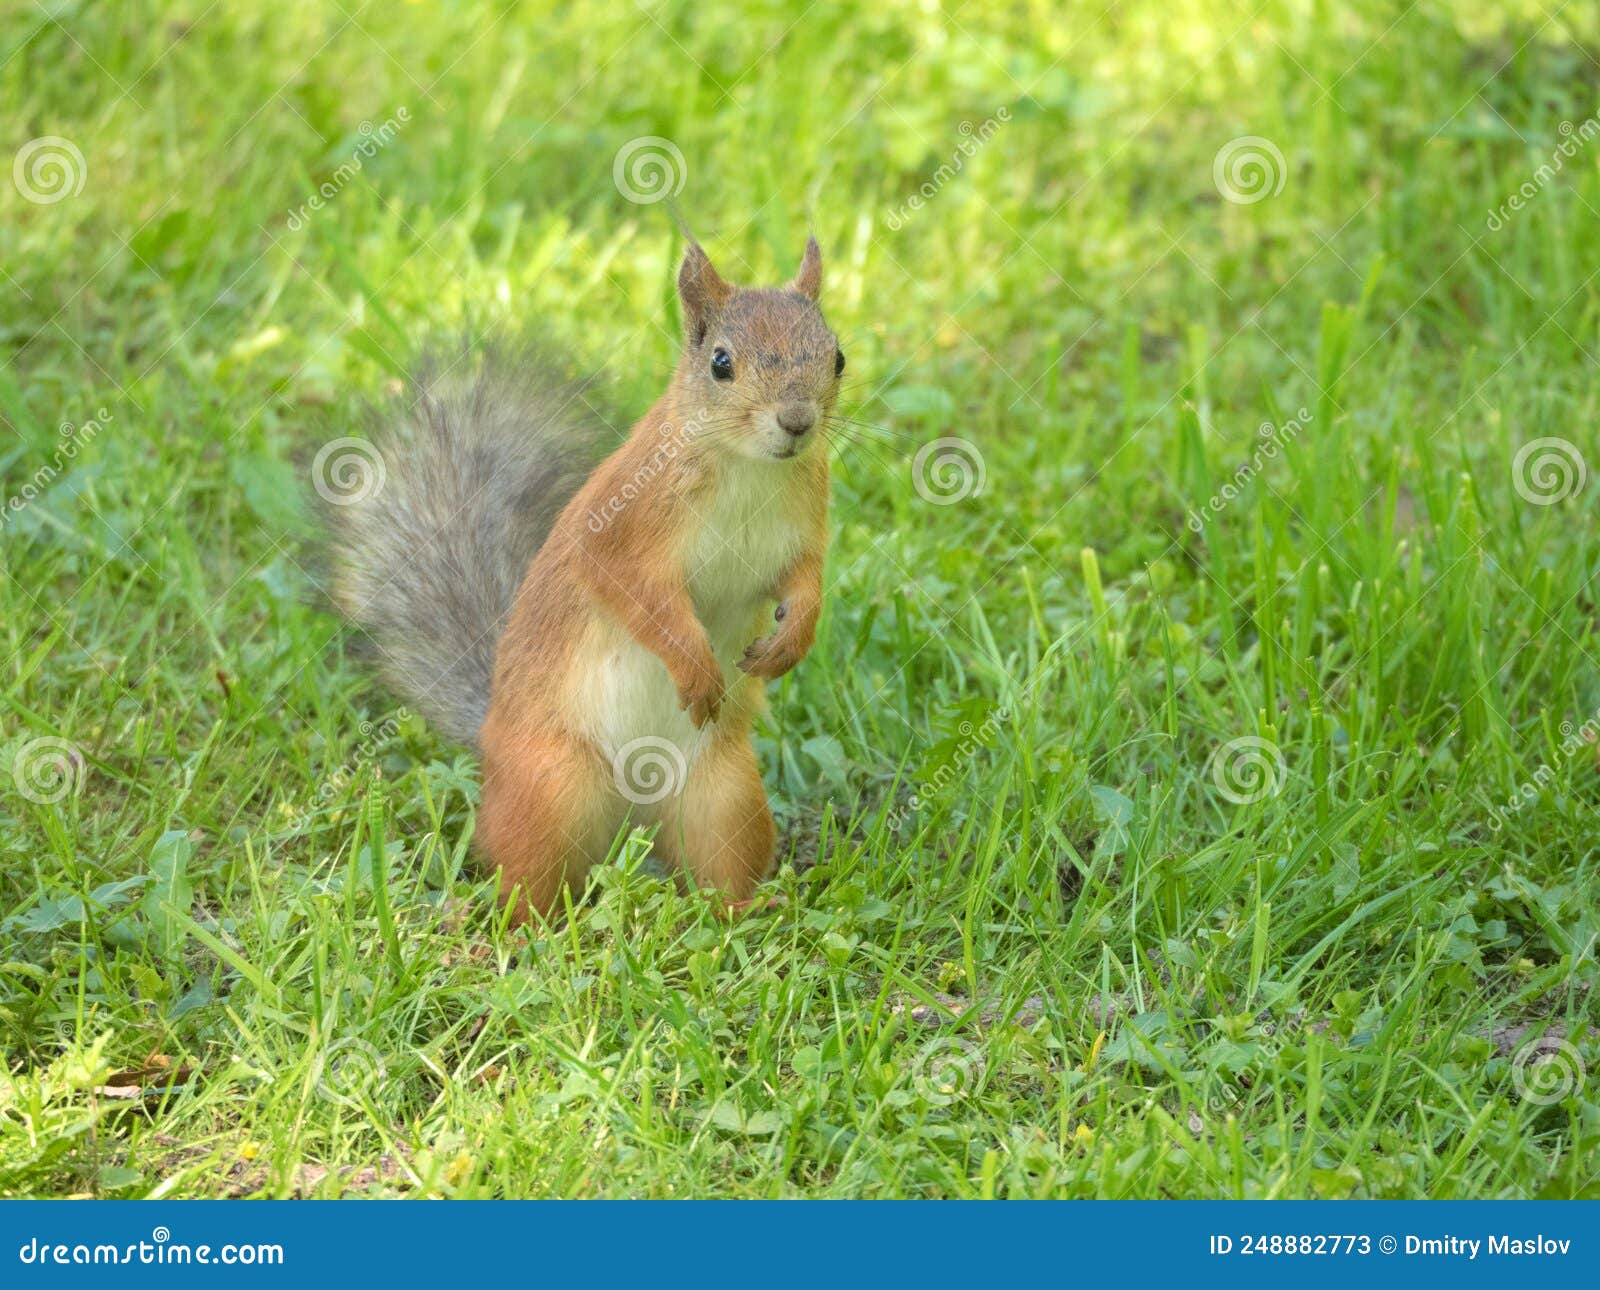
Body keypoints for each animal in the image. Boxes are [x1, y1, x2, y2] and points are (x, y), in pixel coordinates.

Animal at [327, 238, 842, 920]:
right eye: (721, 364)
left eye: (837, 357)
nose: (796, 421)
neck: (748, 469)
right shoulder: (618, 529)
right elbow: (637, 596)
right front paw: (695, 668)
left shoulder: (804, 532)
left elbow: (806, 586)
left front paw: (791, 643)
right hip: (552, 791)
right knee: (525, 886)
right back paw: (505, 930)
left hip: (723, 798)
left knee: (719, 874)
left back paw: (749, 912)